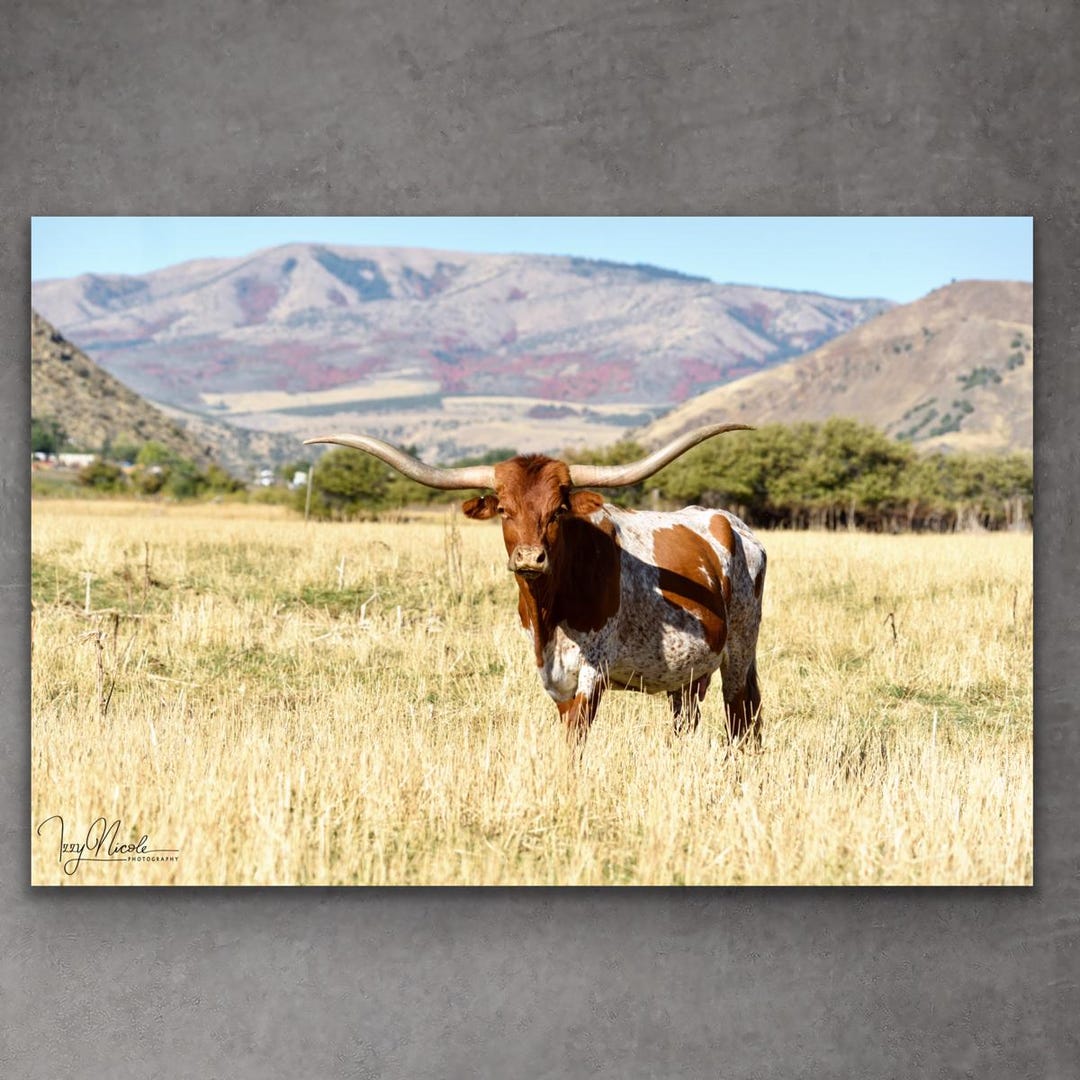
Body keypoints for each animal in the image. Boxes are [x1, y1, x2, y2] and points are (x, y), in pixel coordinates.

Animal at [303, 424, 766, 743]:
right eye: (504, 509)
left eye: (558, 510)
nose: (529, 558)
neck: (551, 609)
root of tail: (733, 523)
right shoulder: (553, 674)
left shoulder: (593, 670)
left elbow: (576, 738)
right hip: (686, 673)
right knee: (688, 719)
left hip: (740, 652)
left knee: (741, 719)